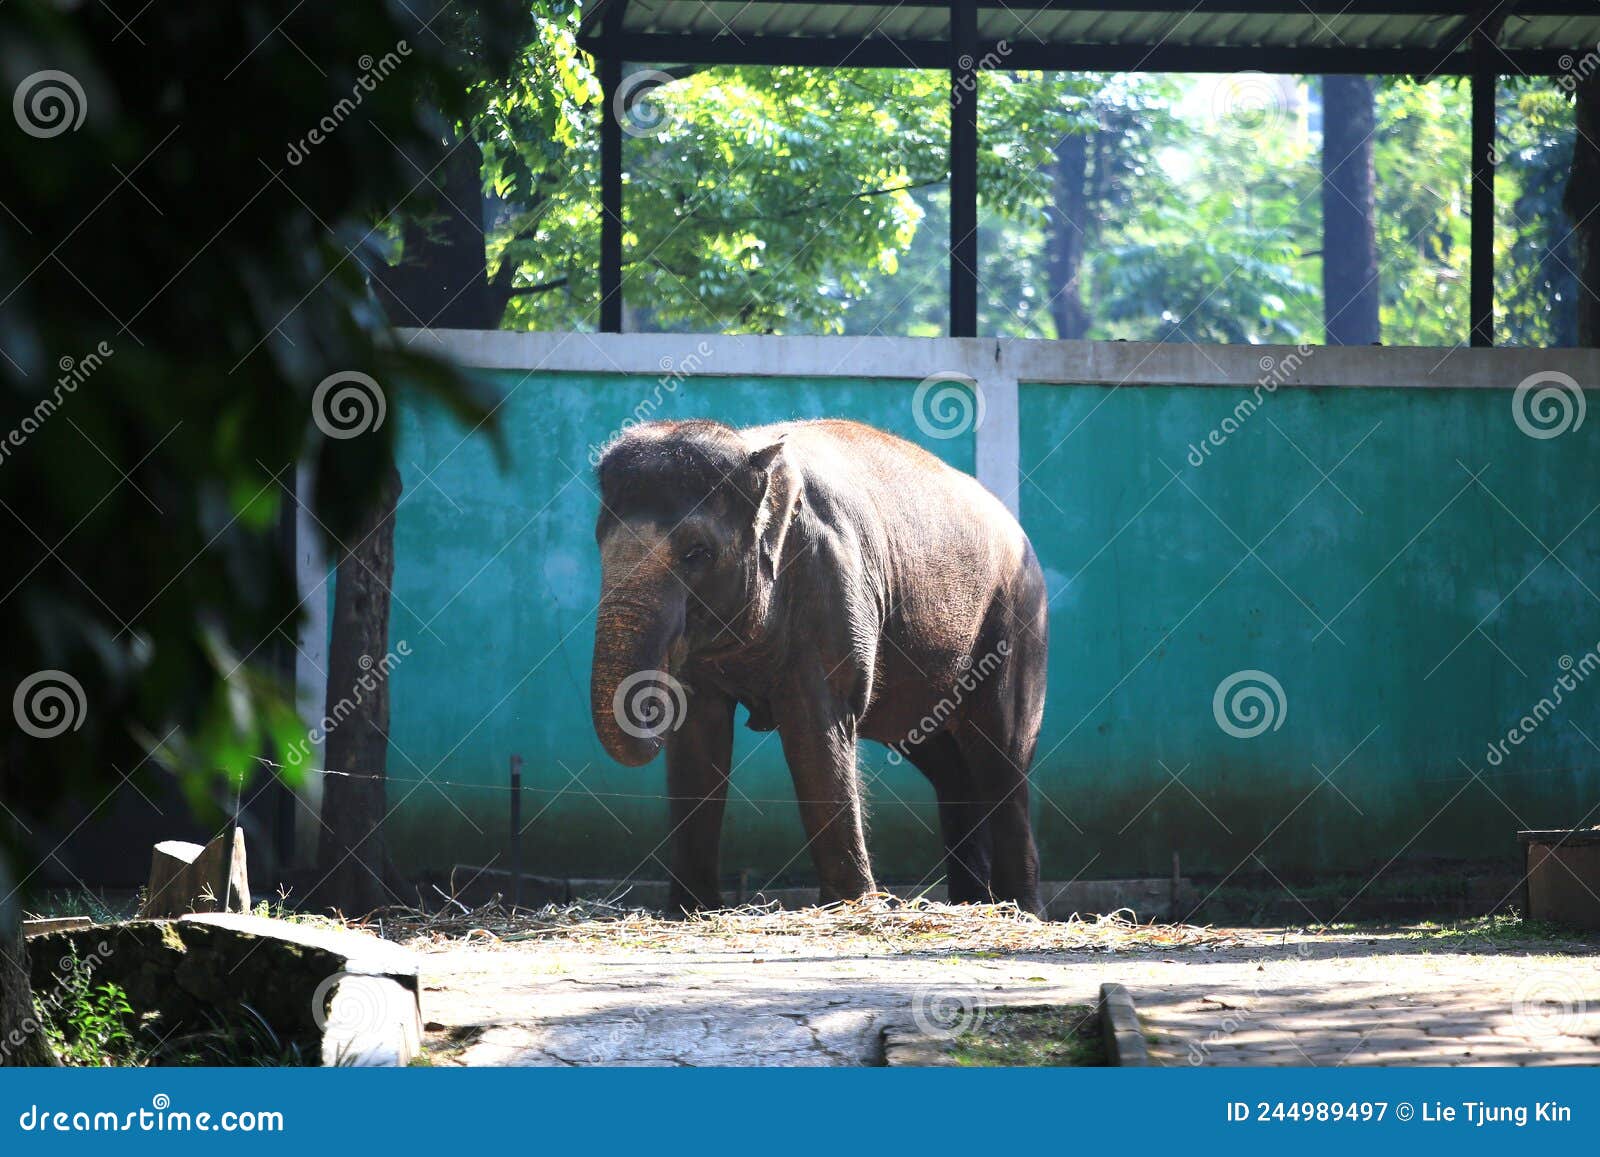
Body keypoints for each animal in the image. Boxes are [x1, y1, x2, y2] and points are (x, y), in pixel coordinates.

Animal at [589, 418, 1048, 916]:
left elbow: (815, 724)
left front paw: (853, 907)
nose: (649, 701)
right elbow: (698, 732)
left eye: (697, 552)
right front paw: (690, 911)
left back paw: (1022, 911)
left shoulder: (832, 583)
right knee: (947, 764)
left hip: (1015, 625)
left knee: (1001, 754)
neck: (757, 454)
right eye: (600, 545)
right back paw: (970, 905)